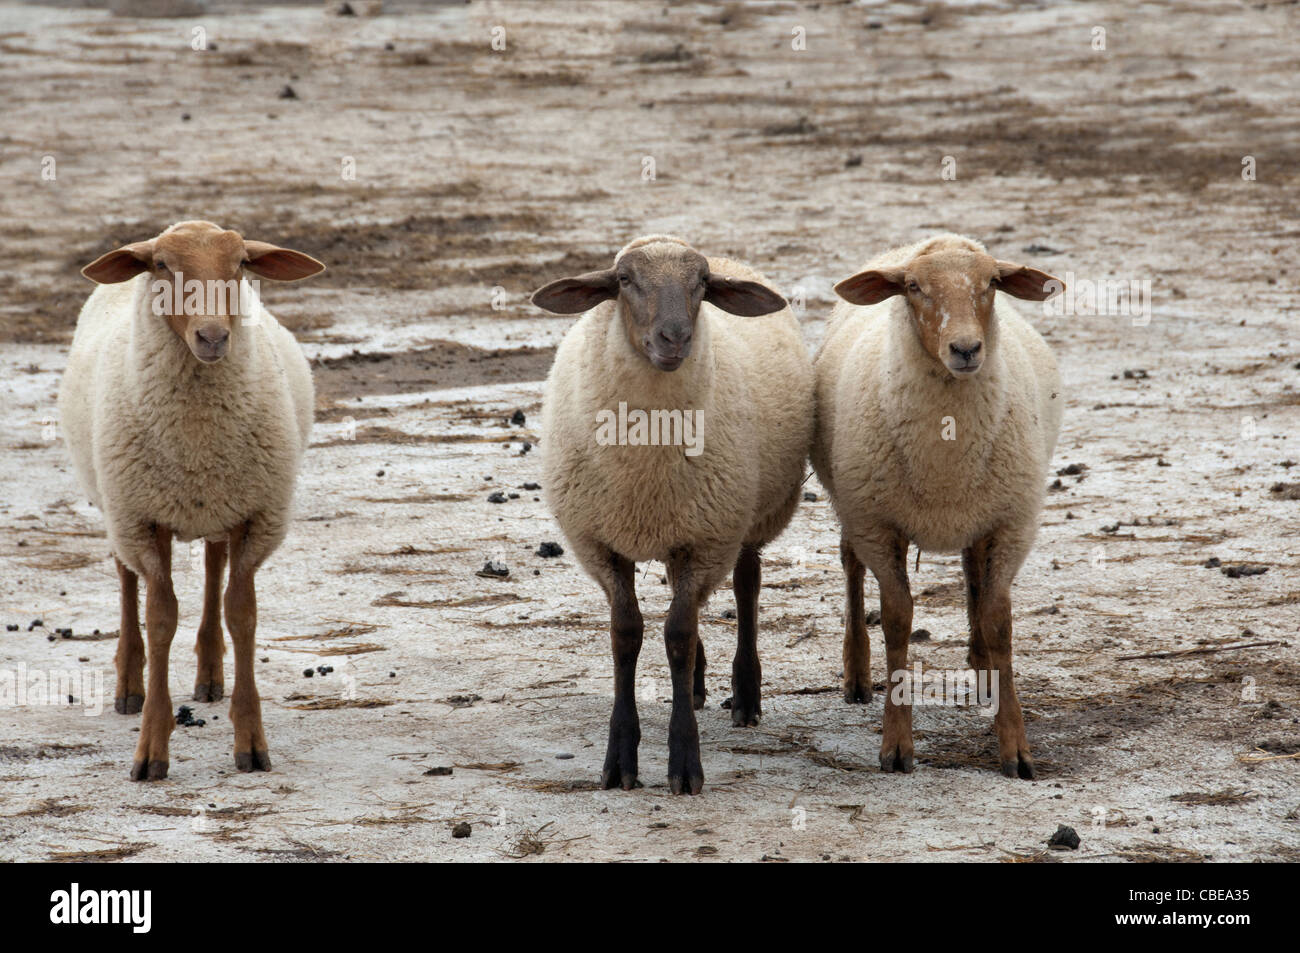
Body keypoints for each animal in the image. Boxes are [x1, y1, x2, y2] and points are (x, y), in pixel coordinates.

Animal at [59, 220, 323, 781]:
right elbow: (160, 620)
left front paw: (250, 740)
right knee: (125, 580)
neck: (199, 441)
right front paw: (151, 749)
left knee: (212, 567)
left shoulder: (254, 516)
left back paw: (209, 674)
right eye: (161, 265)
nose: (214, 336)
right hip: (115, 506)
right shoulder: (142, 519)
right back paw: (129, 685)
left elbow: (241, 614)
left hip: (217, 507)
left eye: (241, 263)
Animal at [531, 235, 814, 794]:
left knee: (746, 586)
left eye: (701, 283)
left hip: (743, 518)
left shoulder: (708, 539)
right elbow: (627, 634)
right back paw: (701, 684)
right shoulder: (602, 542)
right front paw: (620, 756)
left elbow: (677, 634)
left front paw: (684, 760)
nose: (675, 337)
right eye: (623, 279)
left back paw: (745, 694)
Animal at [810, 233, 1063, 779]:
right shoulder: (878, 524)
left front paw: (1015, 745)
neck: (947, 458)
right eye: (913, 287)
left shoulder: (1010, 522)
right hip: (852, 503)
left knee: (972, 573)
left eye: (993, 282)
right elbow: (897, 619)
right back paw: (856, 673)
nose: (966, 349)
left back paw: (982, 664)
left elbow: (997, 619)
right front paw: (896, 744)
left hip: (978, 513)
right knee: (850, 567)